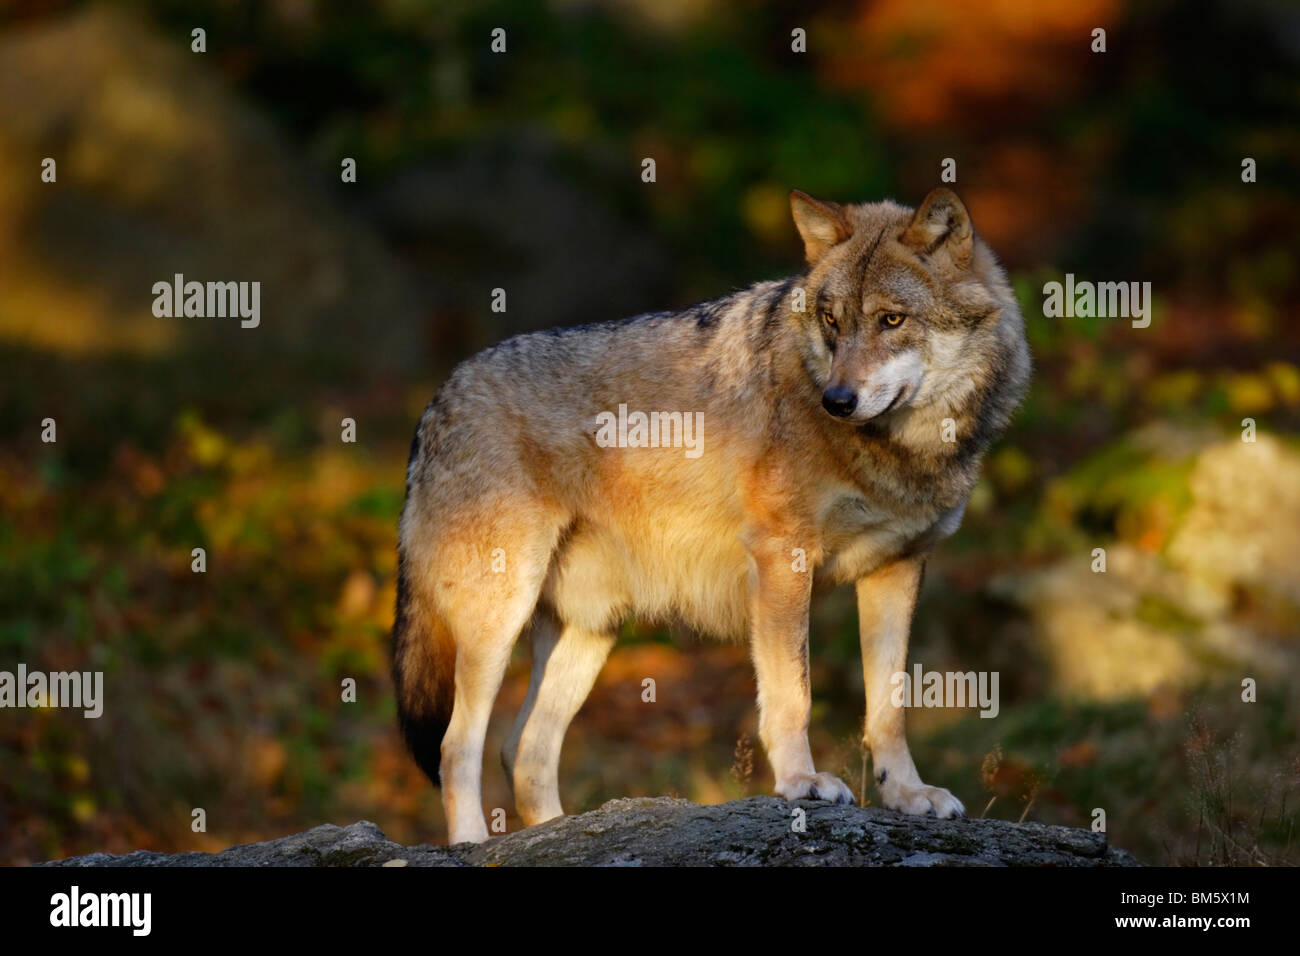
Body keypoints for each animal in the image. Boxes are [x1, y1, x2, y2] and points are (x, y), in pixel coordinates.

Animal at [393, 187, 1031, 844]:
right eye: (832, 321)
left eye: (892, 320)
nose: (836, 400)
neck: (899, 452)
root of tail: (436, 401)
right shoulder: (782, 559)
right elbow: (793, 695)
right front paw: (801, 782)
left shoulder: (898, 569)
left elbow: (890, 709)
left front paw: (908, 795)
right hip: (499, 619)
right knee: (456, 748)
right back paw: (475, 845)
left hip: (590, 631)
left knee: (524, 751)